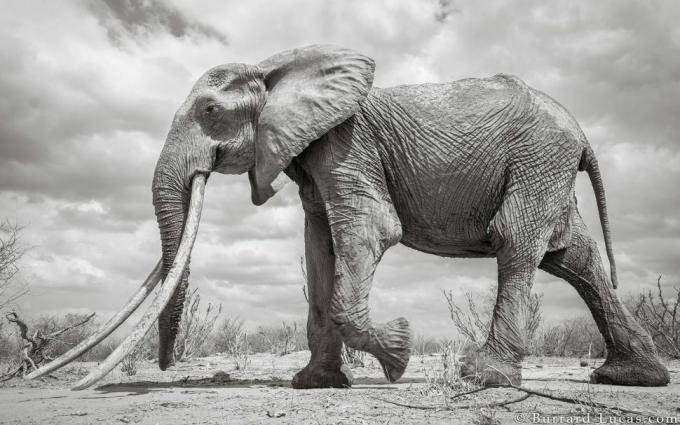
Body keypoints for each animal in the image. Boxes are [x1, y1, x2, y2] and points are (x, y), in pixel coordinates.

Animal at [26, 44, 668, 388]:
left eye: (208, 111)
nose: (162, 366)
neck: (275, 67)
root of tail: (583, 134)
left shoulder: (346, 145)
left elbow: (368, 232)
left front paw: (399, 356)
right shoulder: (314, 160)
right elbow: (319, 249)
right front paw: (315, 383)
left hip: (539, 160)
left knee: (518, 244)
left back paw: (482, 377)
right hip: (547, 168)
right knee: (574, 259)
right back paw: (632, 378)